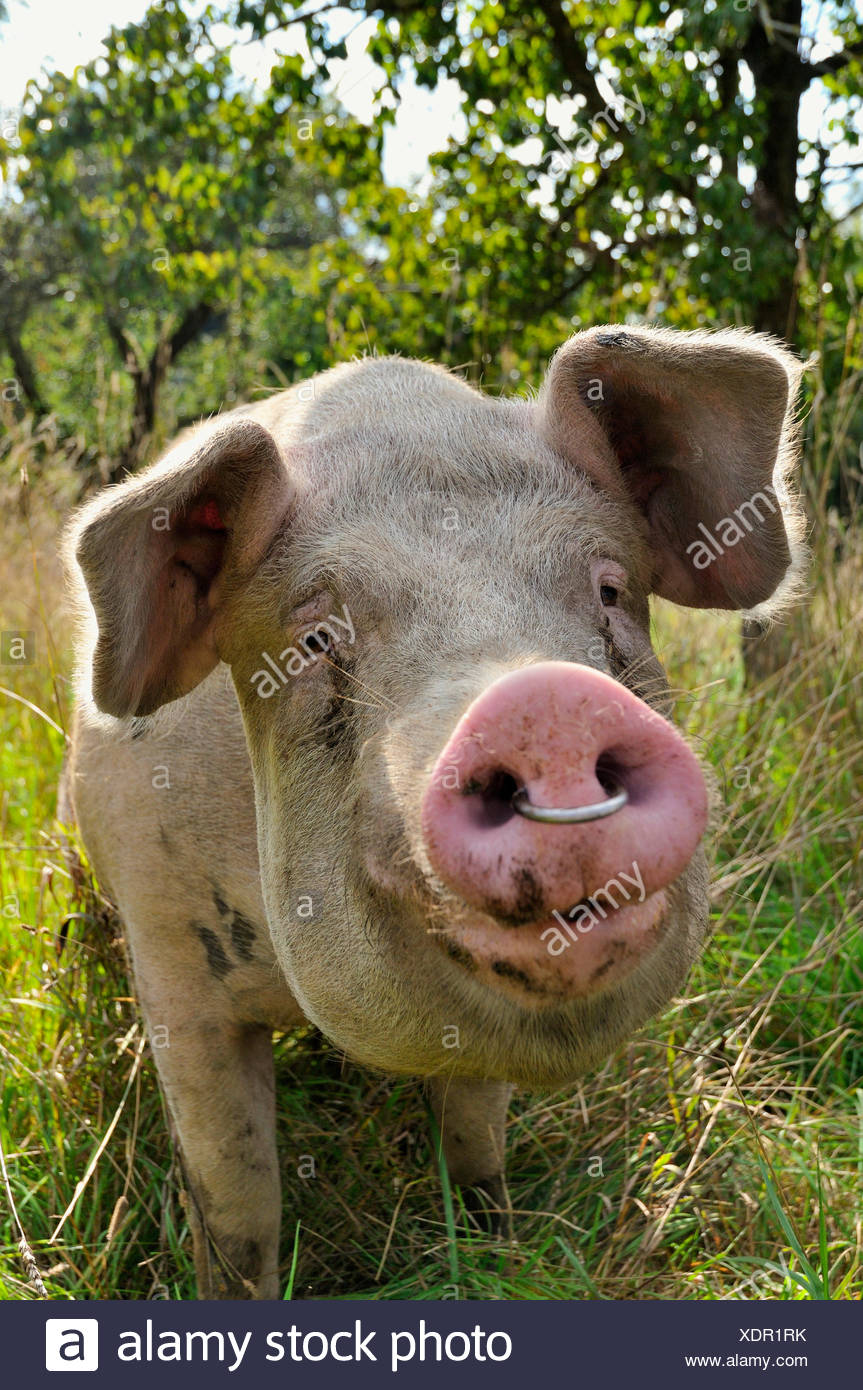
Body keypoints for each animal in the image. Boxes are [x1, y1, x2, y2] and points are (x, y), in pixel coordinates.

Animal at [63, 325, 804, 1298]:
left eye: (608, 591)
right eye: (316, 639)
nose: (543, 700)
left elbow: (474, 1134)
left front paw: (494, 1242)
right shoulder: (172, 954)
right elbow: (237, 1198)